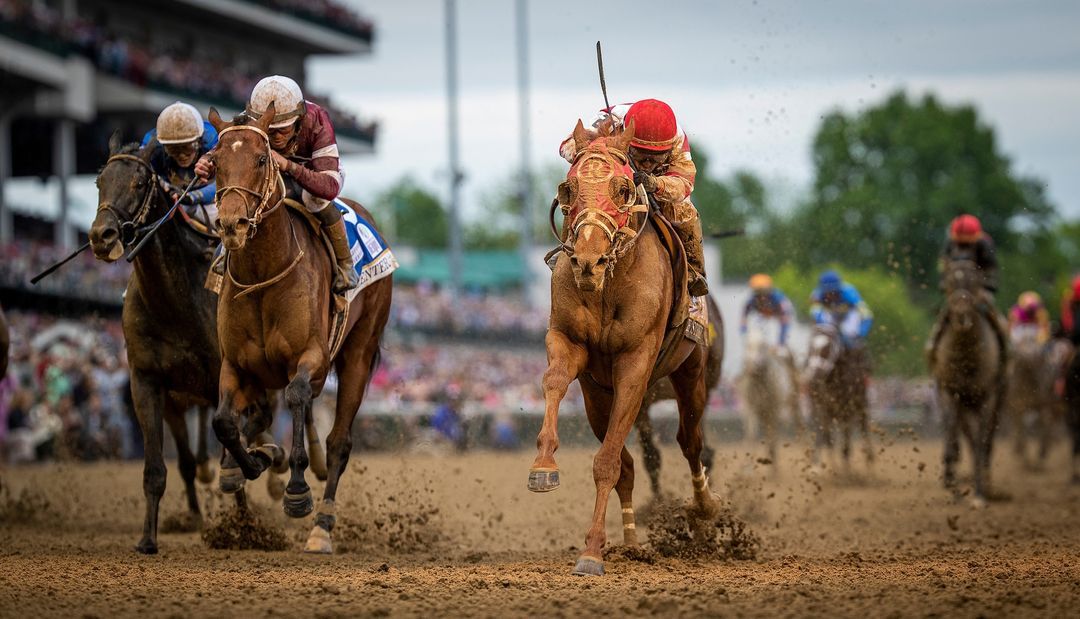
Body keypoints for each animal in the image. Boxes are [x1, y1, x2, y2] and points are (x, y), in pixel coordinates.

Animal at [207, 103, 393, 554]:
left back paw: (322, 525)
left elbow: (296, 396)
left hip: (358, 352)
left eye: (261, 159)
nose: (232, 225)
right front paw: (252, 461)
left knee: (338, 441)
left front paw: (296, 490)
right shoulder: (236, 365)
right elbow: (223, 421)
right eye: (215, 162)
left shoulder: (311, 358)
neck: (263, 274)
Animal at [805, 322, 872, 470]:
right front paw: (829, 467)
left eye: (827, 348)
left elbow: (845, 446)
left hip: (861, 405)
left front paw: (845, 471)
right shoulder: (823, 409)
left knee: (864, 429)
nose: (813, 377)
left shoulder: (847, 410)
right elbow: (827, 440)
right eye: (810, 347)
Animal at [930, 259, 1005, 504]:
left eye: (974, 281)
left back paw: (985, 484)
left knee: (986, 441)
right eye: (950, 282)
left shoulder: (988, 395)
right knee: (968, 438)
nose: (962, 315)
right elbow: (953, 438)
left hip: (998, 398)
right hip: (964, 404)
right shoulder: (950, 392)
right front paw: (952, 483)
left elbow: (982, 441)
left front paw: (980, 493)